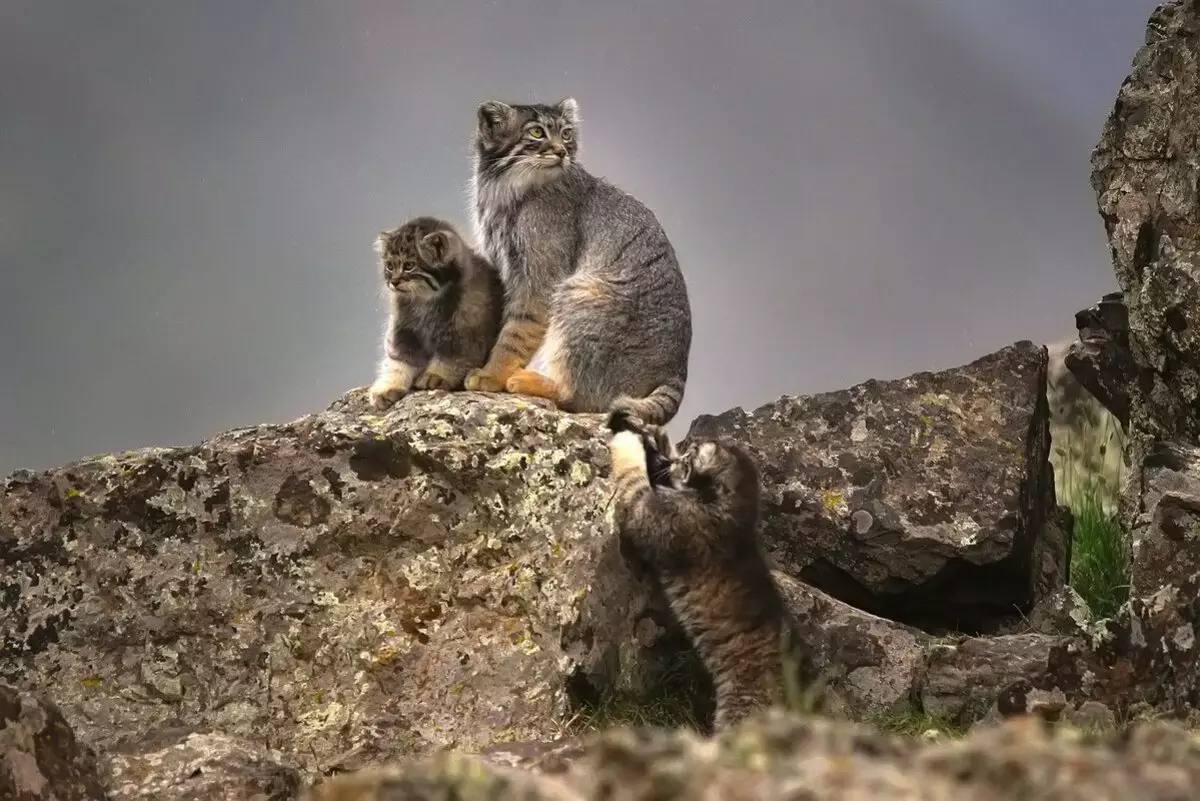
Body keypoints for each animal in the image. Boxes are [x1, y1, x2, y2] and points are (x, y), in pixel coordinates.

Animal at [367, 215, 504, 410]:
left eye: (409, 265)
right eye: (389, 266)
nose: (393, 281)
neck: (425, 303)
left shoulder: (465, 335)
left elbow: (451, 359)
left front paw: (436, 375)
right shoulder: (403, 332)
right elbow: (397, 363)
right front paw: (387, 386)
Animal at [465, 95, 696, 424]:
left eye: (566, 134)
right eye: (536, 132)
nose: (562, 151)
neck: (505, 188)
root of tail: (675, 372)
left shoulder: (540, 277)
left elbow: (516, 332)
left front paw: (492, 374)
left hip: (580, 293)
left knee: (581, 399)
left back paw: (532, 382)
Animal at [609, 412, 816, 733]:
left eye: (687, 461)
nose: (674, 459)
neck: (735, 518)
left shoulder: (662, 516)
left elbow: (633, 485)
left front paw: (627, 441)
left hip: (744, 710)